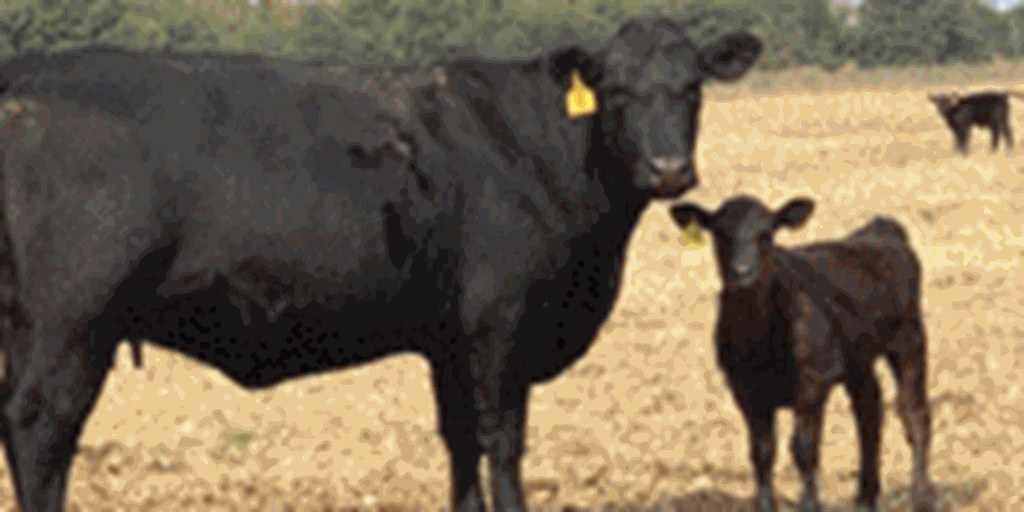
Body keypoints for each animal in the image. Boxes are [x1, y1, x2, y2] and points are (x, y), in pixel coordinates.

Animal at [0, 17, 763, 512]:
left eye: (693, 88)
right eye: (615, 90)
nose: (669, 168)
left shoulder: (449, 340)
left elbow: (460, 443)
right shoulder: (499, 329)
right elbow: (503, 443)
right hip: (71, 326)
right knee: (40, 429)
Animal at [670, 196, 936, 512]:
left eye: (766, 235)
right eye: (721, 234)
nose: (743, 272)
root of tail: (880, 229)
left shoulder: (813, 380)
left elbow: (804, 447)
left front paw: (809, 504)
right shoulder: (744, 389)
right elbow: (762, 451)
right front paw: (764, 505)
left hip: (909, 339)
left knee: (914, 413)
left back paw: (921, 496)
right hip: (857, 359)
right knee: (869, 410)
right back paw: (865, 497)